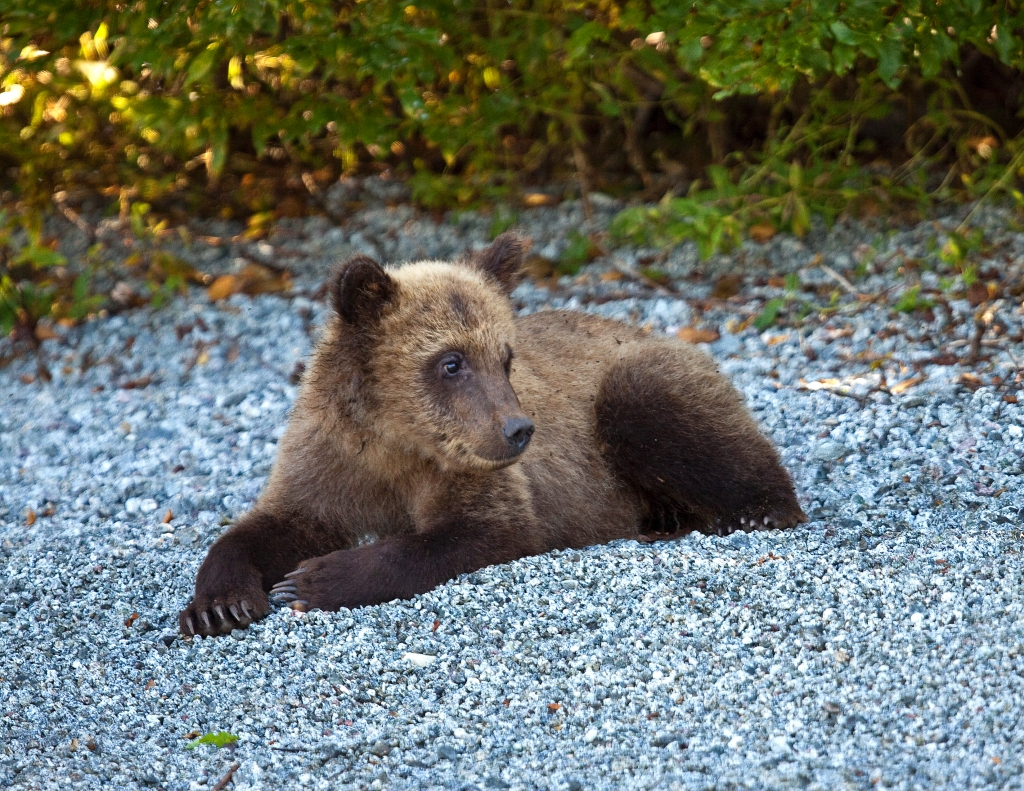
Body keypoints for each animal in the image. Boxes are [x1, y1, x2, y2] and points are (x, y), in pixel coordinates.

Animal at [178, 232, 806, 637]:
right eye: (451, 362)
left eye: (505, 357)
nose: (518, 429)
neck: (396, 442)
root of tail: (661, 331)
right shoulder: (331, 460)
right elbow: (277, 521)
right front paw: (218, 603)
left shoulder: (473, 472)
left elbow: (472, 532)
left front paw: (314, 580)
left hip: (637, 384)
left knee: (661, 407)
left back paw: (753, 511)